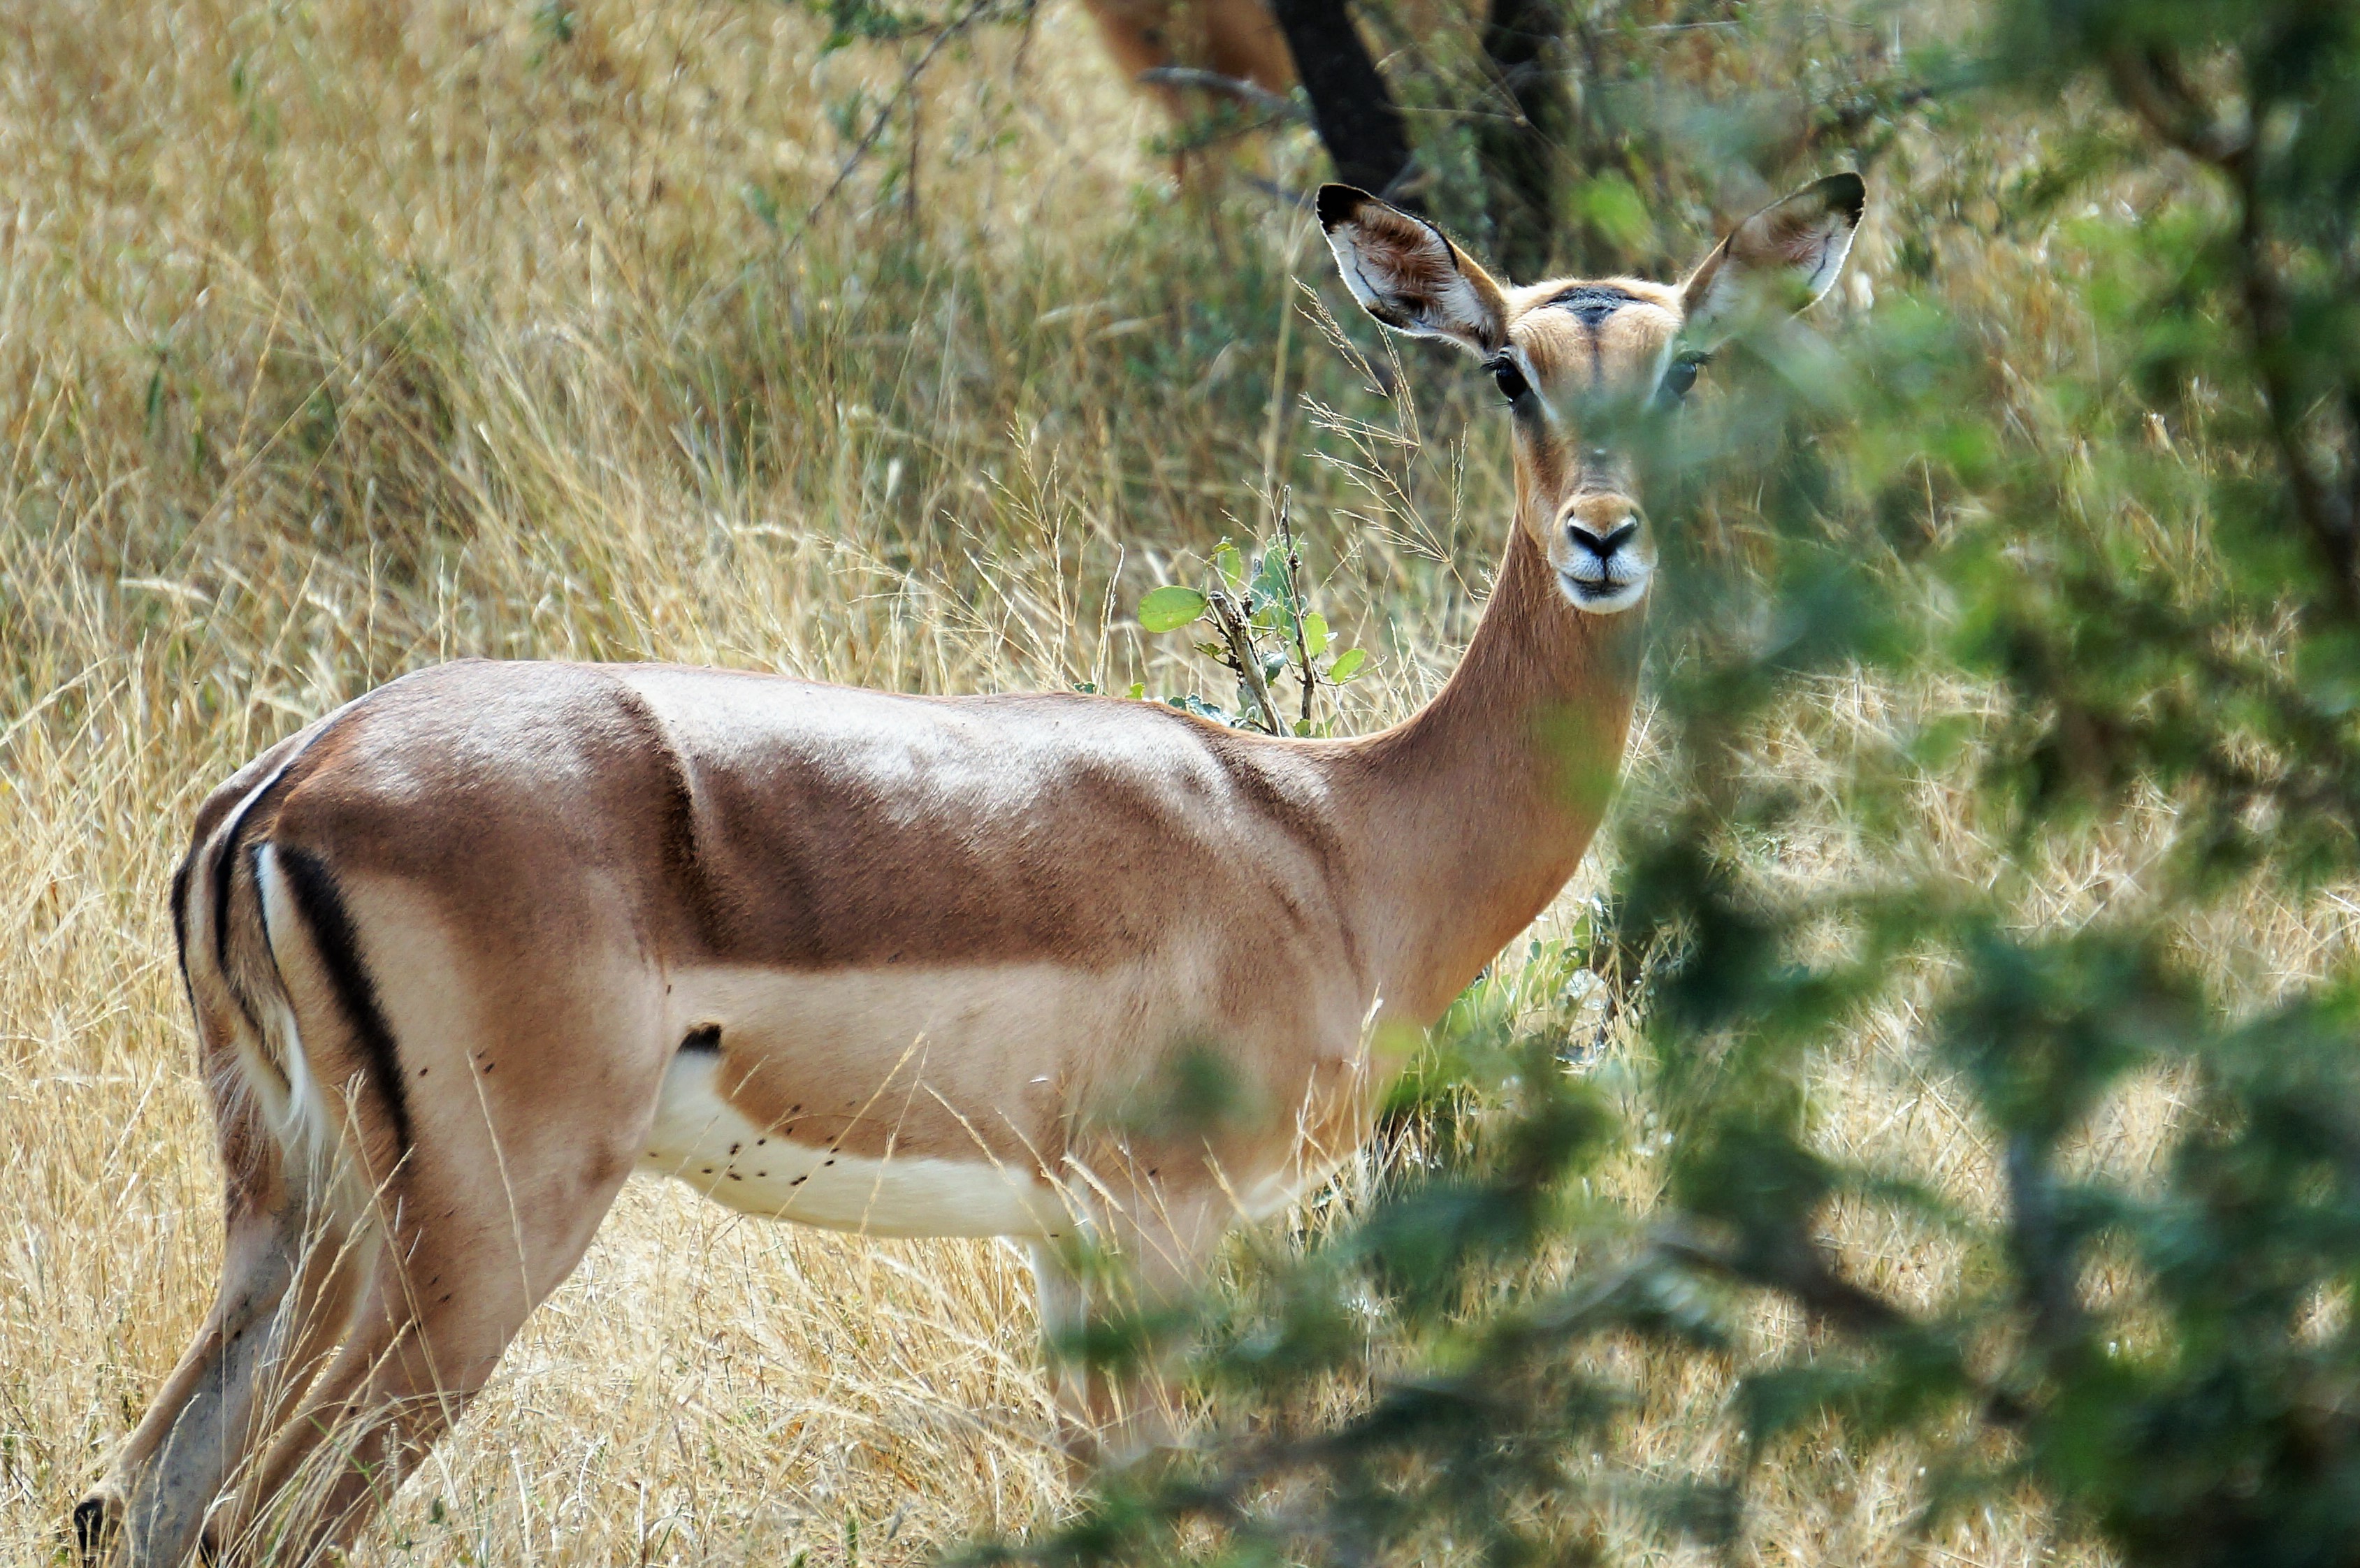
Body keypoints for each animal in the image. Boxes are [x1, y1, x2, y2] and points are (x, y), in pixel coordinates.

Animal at [76, 172, 1862, 1566]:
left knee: (138, 1496)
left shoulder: (1067, 1245)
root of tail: (282, 787)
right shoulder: (1160, 1220)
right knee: (253, 1519)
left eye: (1686, 366)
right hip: (474, 1239)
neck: (1337, 835)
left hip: (291, 1215)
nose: (1603, 540)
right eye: (1506, 371)